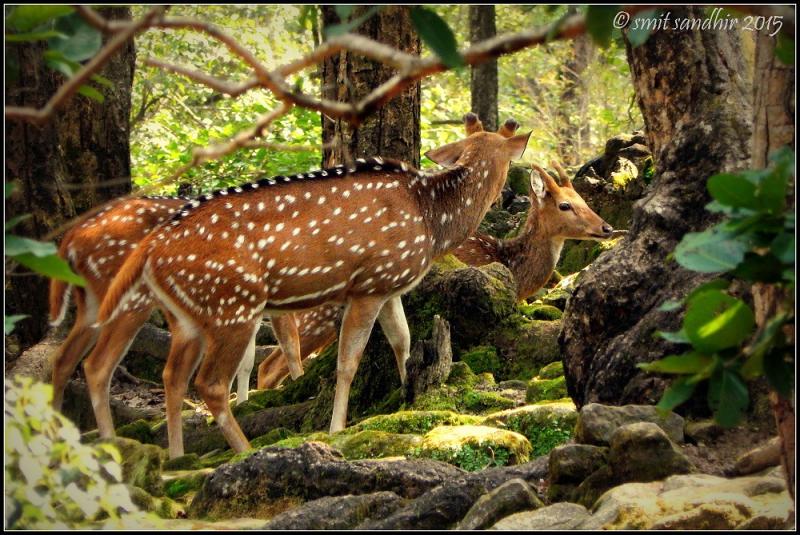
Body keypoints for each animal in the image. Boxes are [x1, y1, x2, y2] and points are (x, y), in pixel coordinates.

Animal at [89, 112, 531, 458]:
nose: (512, 194)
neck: (431, 219)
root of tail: (149, 249)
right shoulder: (369, 284)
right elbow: (348, 361)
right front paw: (337, 428)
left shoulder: (389, 285)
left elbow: (402, 341)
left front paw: (410, 398)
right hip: (232, 303)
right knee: (209, 383)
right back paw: (244, 449)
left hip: (186, 315)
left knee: (164, 375)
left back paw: (174, 455)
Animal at [256, 160, 614, 389]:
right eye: (565, 205)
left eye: (583, 199)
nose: (606, 227)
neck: (505, 259)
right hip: (318, 311)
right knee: (271, 364)